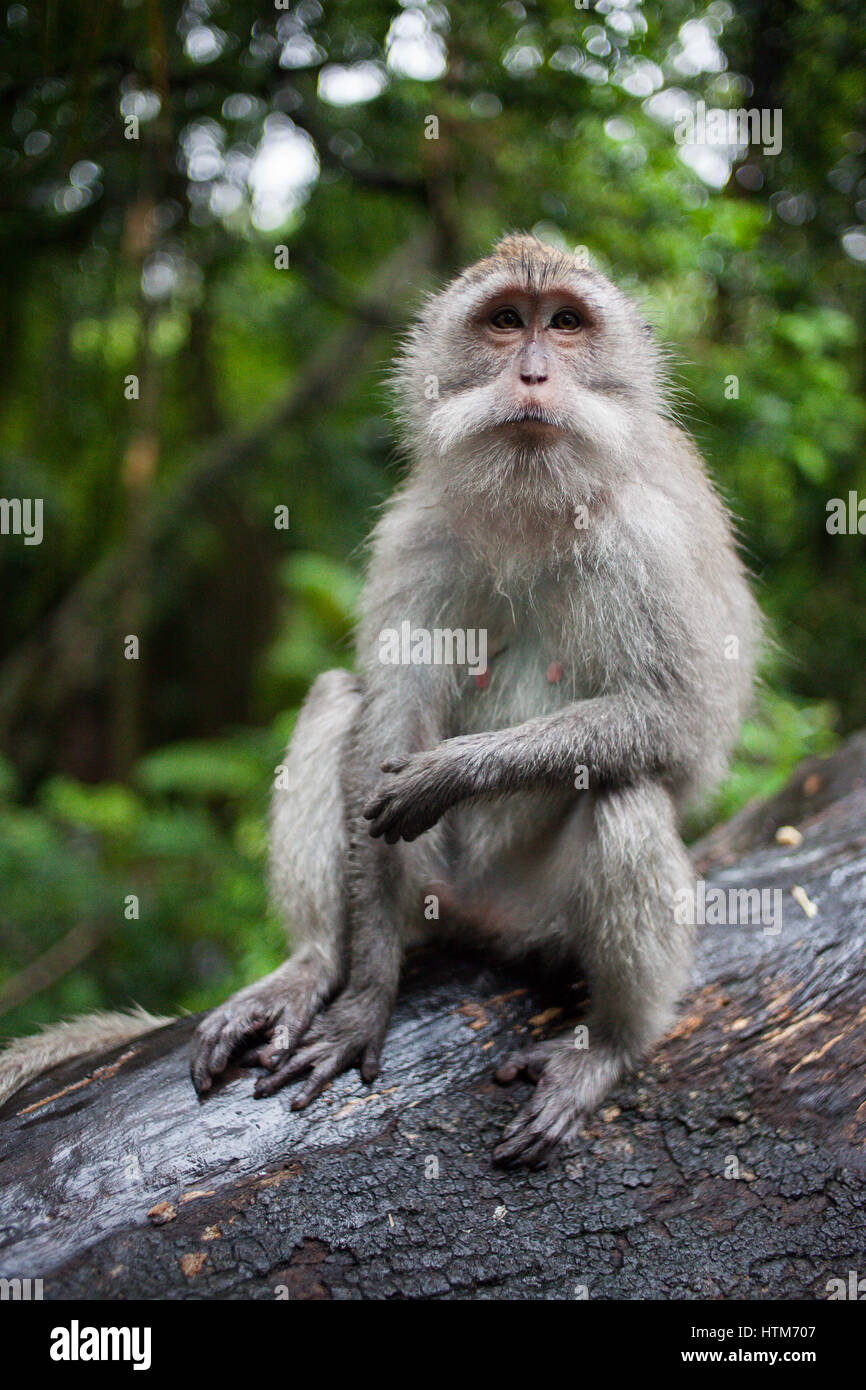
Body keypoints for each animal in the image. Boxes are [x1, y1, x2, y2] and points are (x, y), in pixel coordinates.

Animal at [0, 236, 759, 1165]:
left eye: (567, 323)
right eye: (506, 321)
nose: (534, 375)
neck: (536, 500)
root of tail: (479, 921)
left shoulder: (647, 540)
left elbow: (682, 726)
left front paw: (451, 771)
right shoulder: (417, 529)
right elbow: (385, 716)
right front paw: (365, 996)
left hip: (538, 915)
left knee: (627, 796)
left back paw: (610, 1045)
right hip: (433, 886)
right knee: (338, 701)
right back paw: (315, 964)